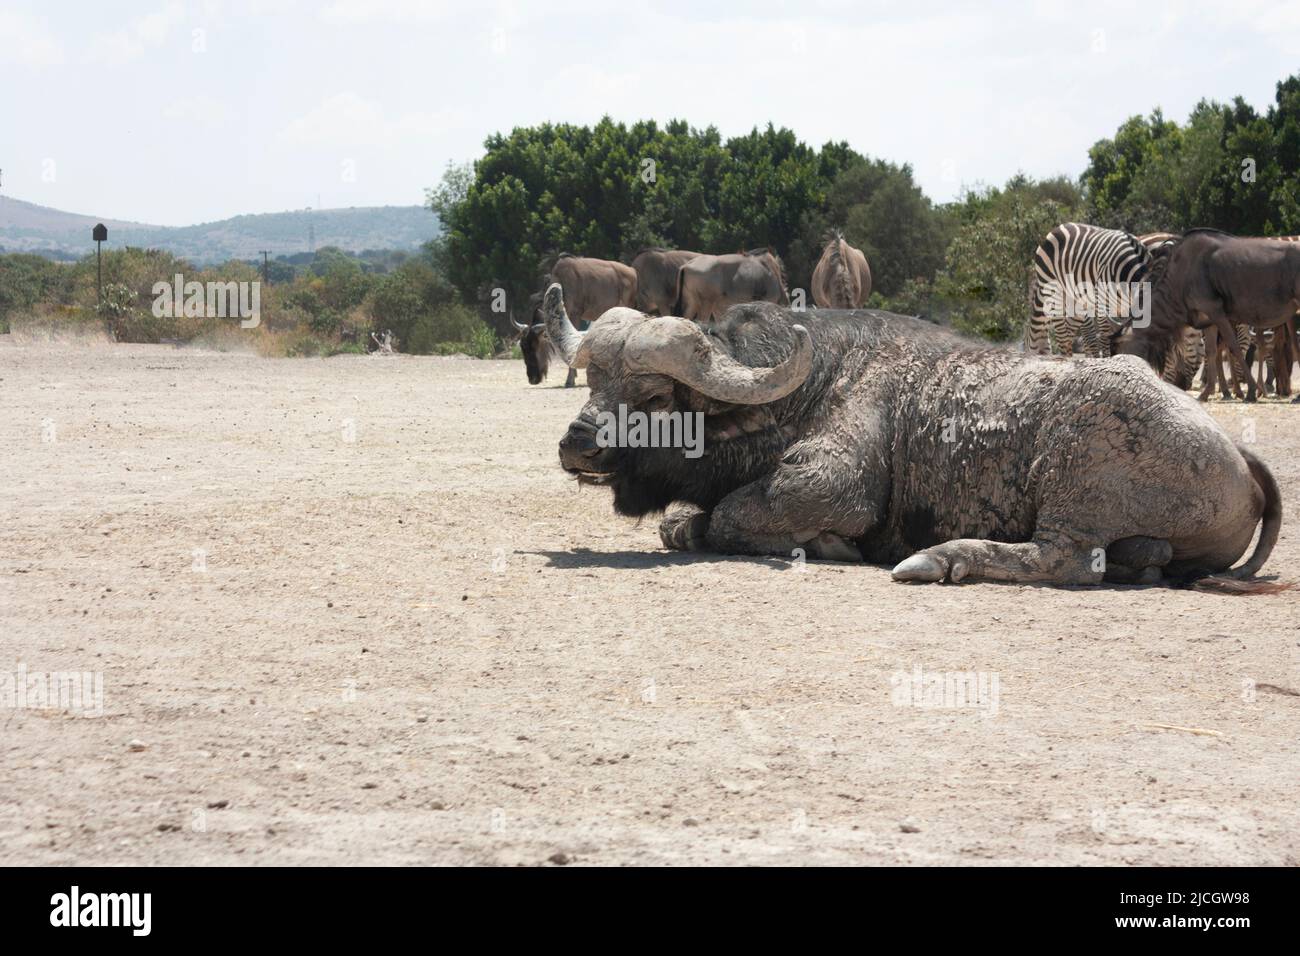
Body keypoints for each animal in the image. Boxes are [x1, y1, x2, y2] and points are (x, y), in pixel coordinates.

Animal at [543, 284, 1282, 592]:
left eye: (651, 397)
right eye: (593, 380)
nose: (577, 444)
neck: (811, 385)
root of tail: (1237, 453)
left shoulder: (831, 483)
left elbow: (724, 518)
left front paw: (832, 545)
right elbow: (682, 523)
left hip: (1074, 476)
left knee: (1067, 561)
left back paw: (937, 559)